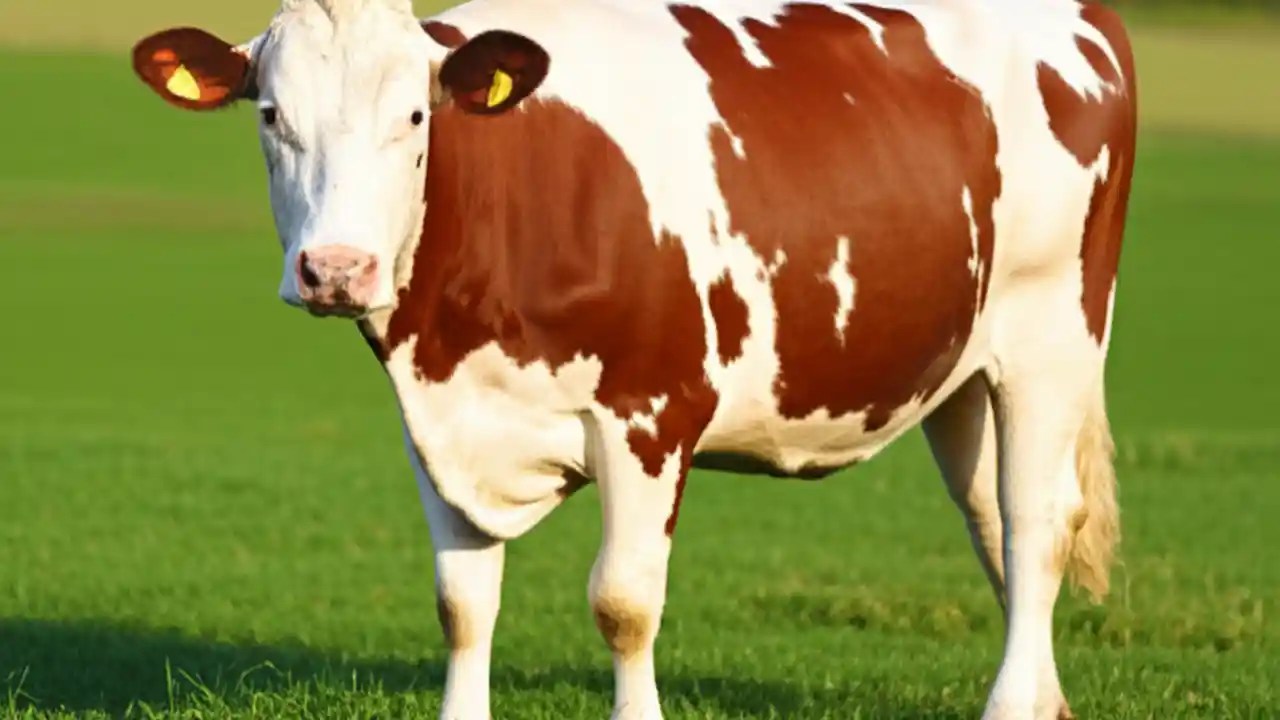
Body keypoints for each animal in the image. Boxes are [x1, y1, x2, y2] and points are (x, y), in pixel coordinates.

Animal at [129, 0, 1136, 717]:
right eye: (270, 114)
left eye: (415, 115)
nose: (337, 269)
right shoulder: (437, 419)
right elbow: (463, 604)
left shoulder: (652, 410)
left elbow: (623, 602)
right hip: (962, 370)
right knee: (994, 524)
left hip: (1053, 336)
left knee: (1037, 523)